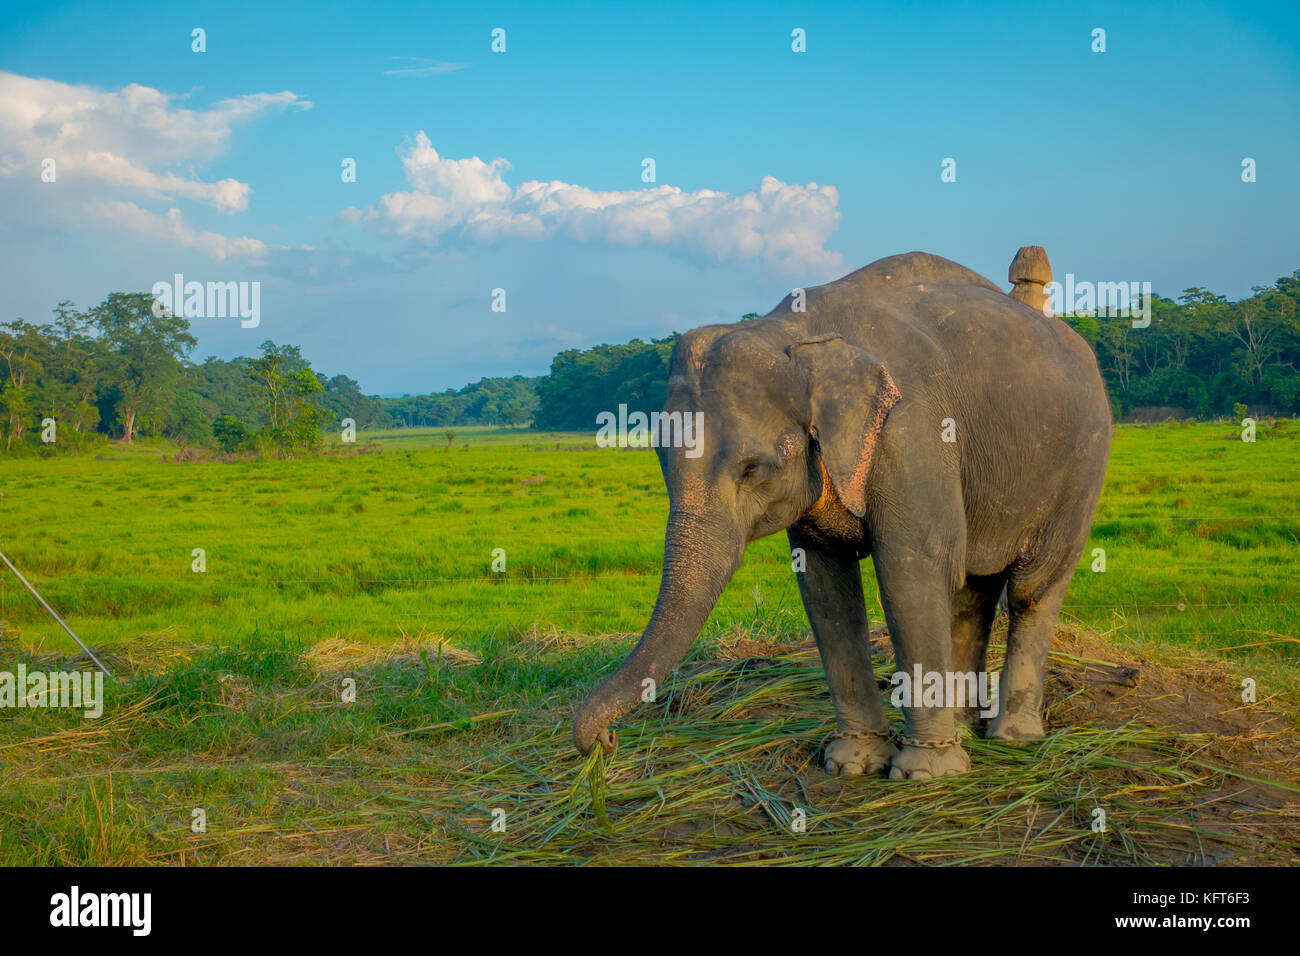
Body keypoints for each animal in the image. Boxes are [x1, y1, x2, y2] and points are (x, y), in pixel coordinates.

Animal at [573, 249, 1111, 780]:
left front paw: (926, 773)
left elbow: (911, 572)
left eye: (752, 468)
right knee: (971, 591)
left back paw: (1012, 737)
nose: (606, 741)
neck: (796, 332)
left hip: (1083, 465)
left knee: (1030, 589)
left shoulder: (912, 431)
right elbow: (825, 585)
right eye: (660, 457)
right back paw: (963, 726)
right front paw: (853, 763)